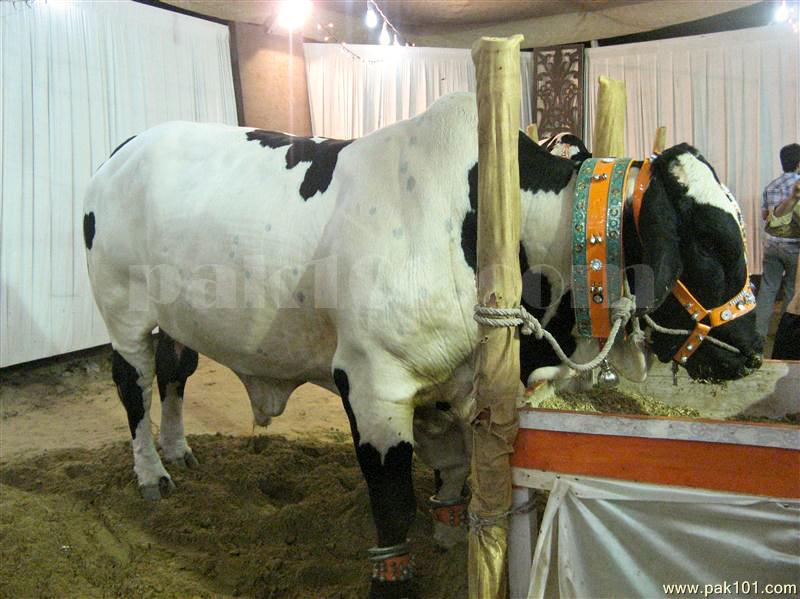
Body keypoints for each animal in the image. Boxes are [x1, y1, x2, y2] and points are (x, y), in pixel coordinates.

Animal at [84, 92, 761, 597]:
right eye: (708, 239)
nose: (754, 348)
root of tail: (126, 147)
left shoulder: (456, 385)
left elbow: (457, 470)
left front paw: (452, 534)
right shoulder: (374, 383)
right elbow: (393, 505)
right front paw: (396, 575)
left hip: (176, 320)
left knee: (175, 372)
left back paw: (178, 449)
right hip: (123, 313)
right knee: (133, 385)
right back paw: (150, 472)